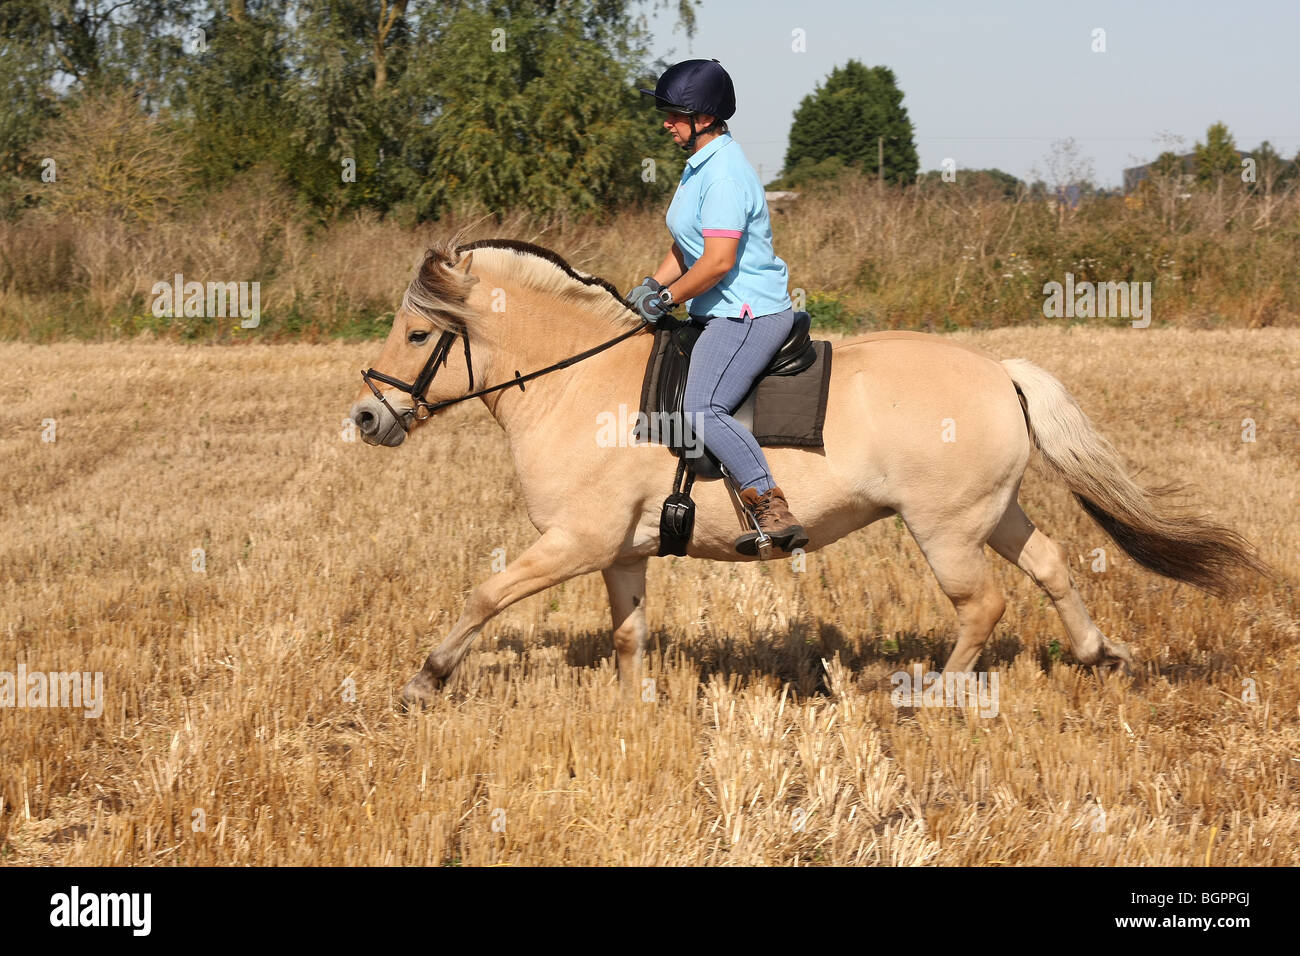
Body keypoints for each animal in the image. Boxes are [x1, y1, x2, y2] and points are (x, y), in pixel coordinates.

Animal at [348, 235, 1268, 708]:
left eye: (421, 335)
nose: (366, 418)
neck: (580, 382)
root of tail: (999, 373)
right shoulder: (621, 550)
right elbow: (629, 635)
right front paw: (639, 709)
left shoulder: (578, 539)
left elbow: (485, 595)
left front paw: (424, 680)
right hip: (993, 512)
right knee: (1049, 568)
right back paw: (1100, 653)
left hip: (944, 528)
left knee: (982, 604)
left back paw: (927, 697)